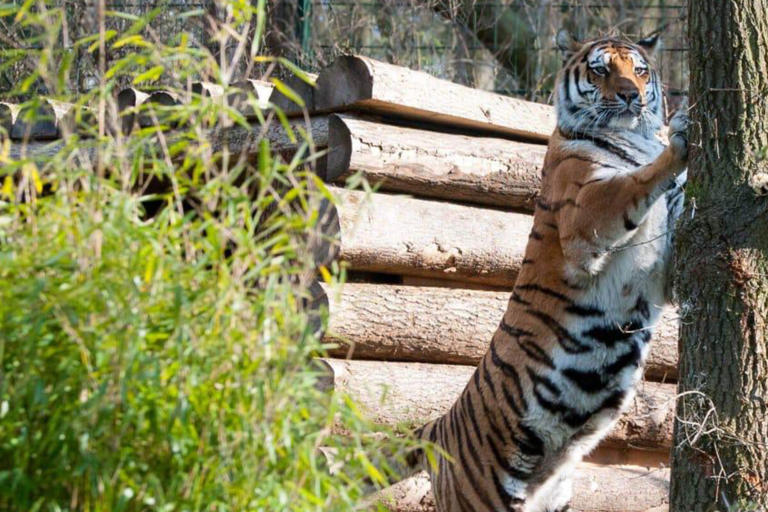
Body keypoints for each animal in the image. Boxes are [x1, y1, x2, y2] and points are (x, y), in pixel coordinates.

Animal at [407, 31, 690, 512]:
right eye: (601, 70)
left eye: (640, 70)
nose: (631, 96)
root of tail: (438, 428)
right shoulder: (587, 214)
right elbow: (634, 182)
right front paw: (681, 139)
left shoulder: (663, 269)